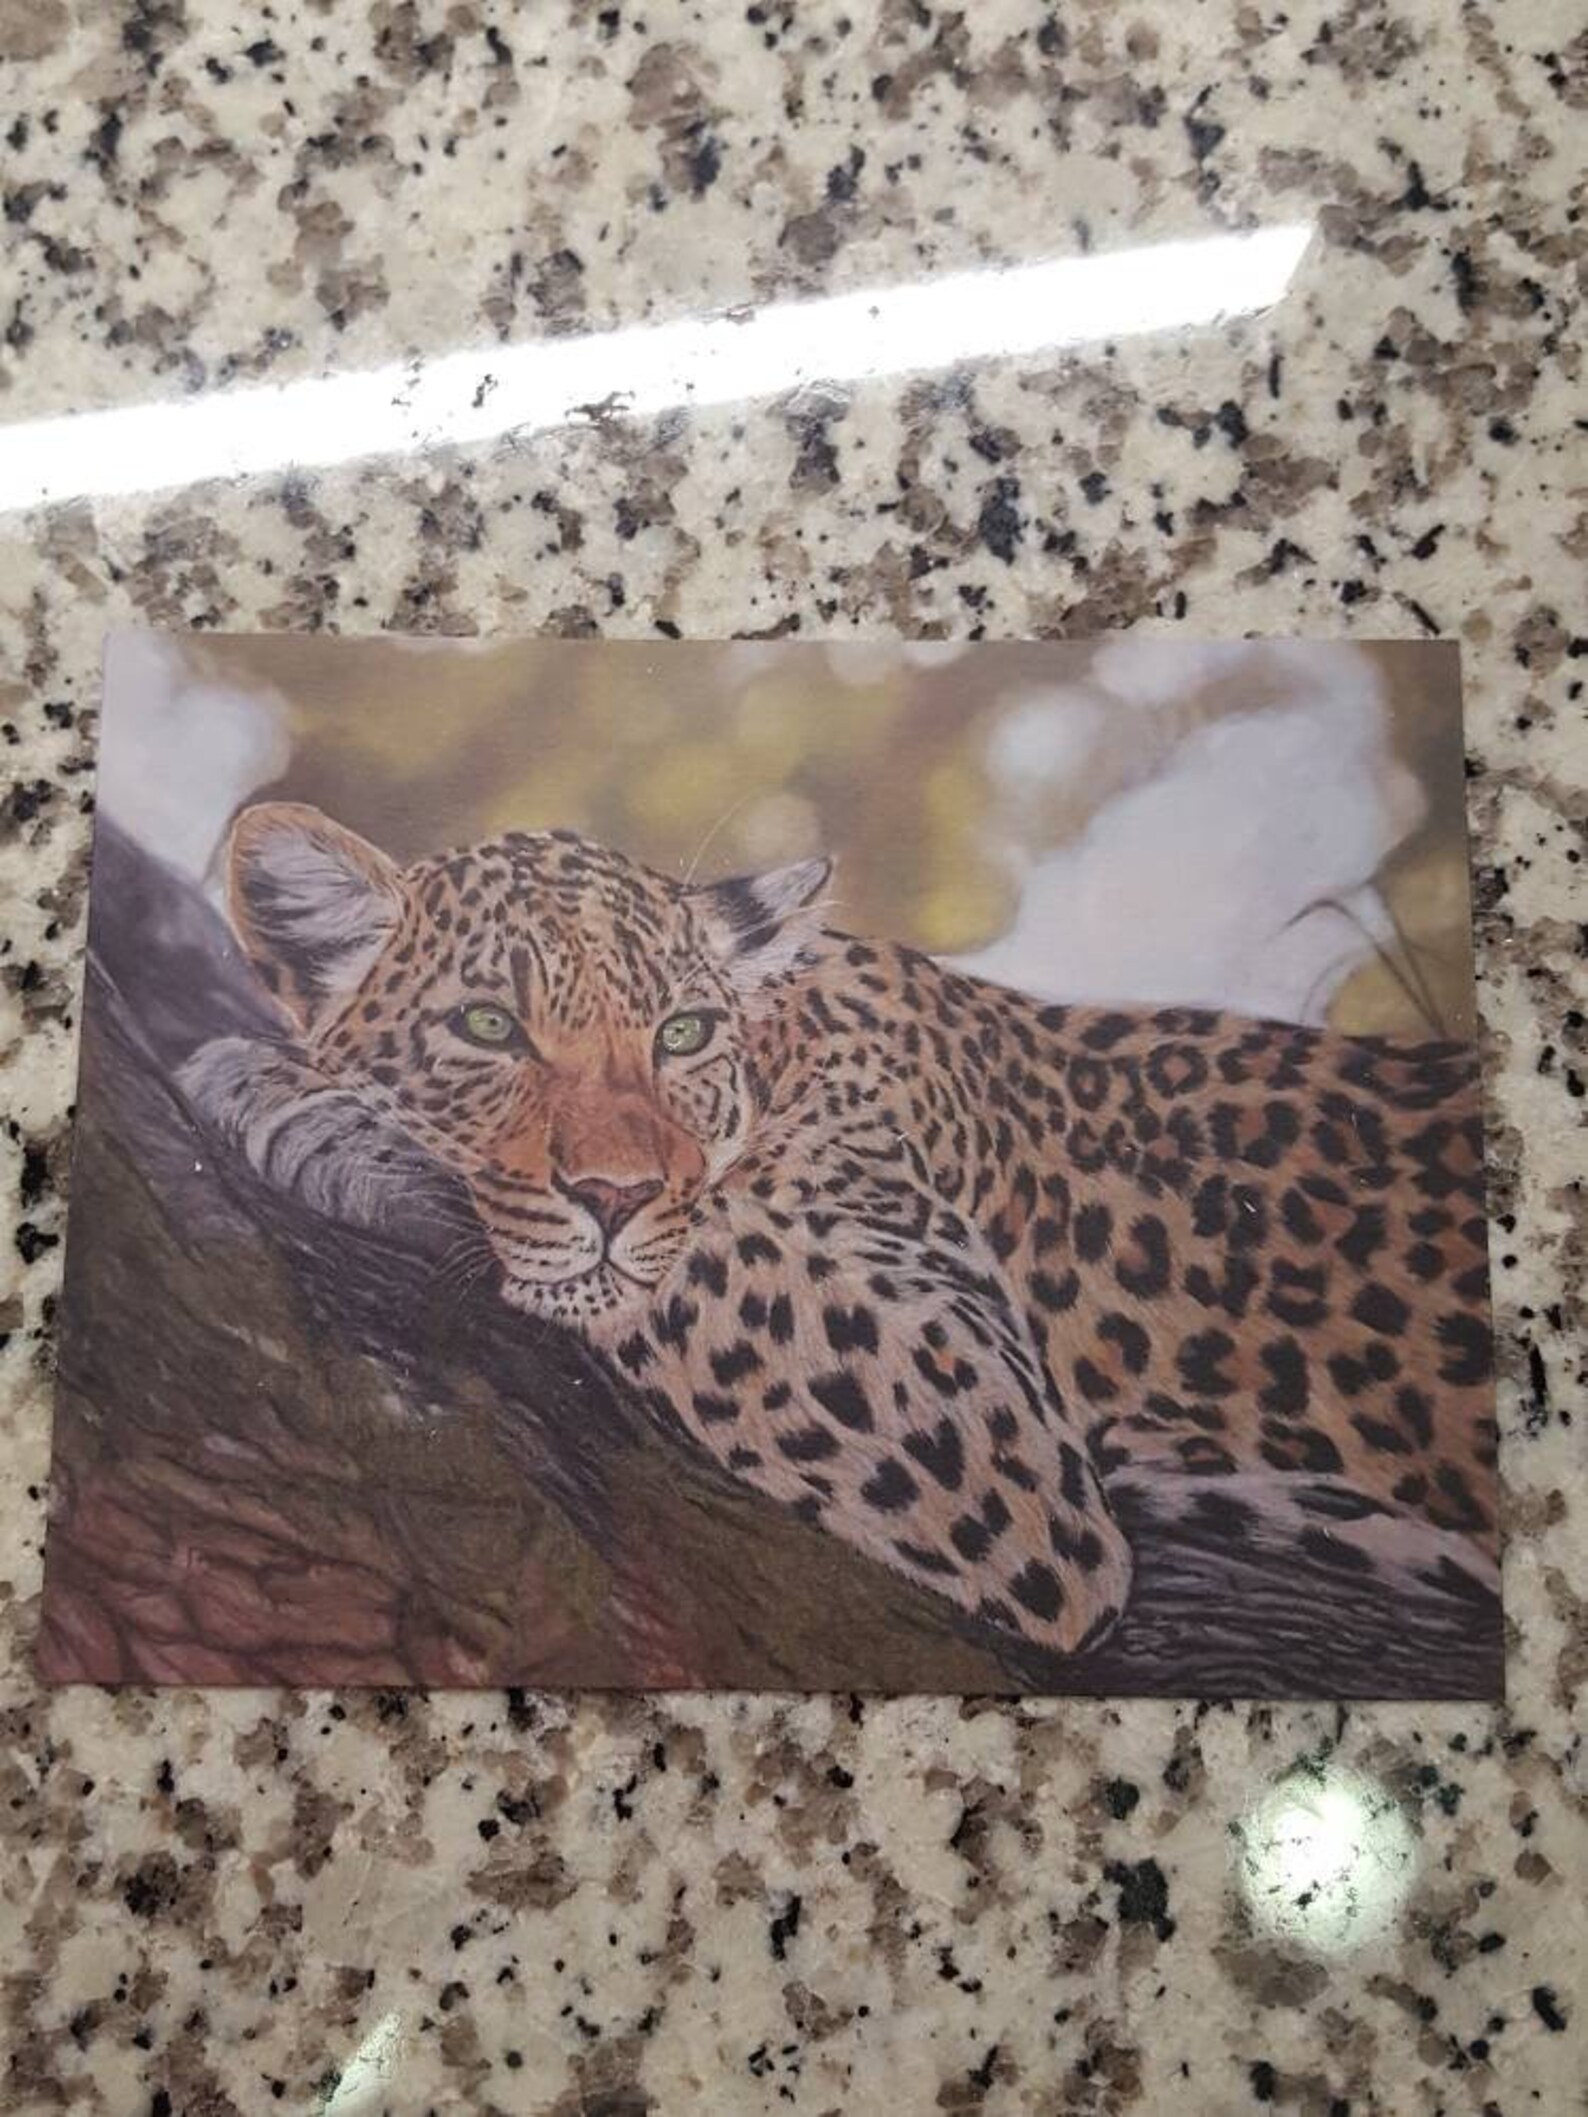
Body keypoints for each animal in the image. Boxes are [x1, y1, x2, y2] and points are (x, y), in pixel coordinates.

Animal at [182, 801, 1497, 1659]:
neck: (785, 1049)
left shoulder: (985, 1413)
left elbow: (690, 1252)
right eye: (488, 1026)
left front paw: (299, 1101)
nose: (614, 1191)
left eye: (681, 1034)